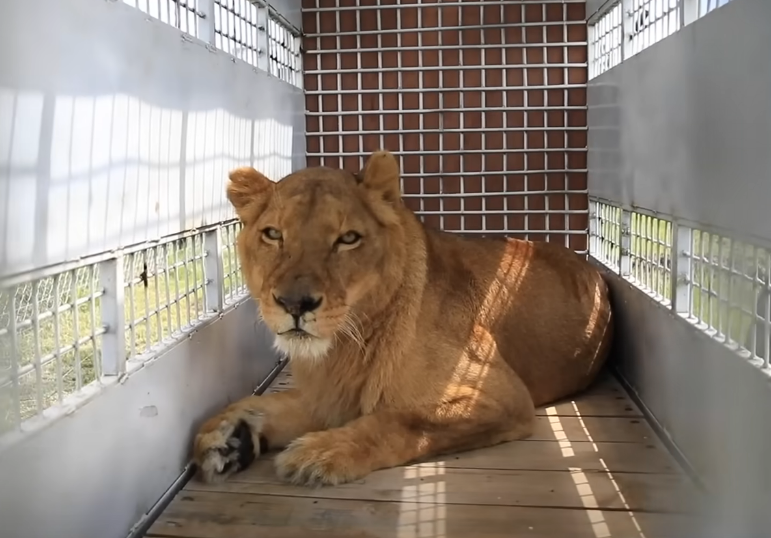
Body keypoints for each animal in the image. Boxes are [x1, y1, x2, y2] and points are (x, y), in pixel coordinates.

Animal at [192, 149, 614, 487]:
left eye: (348, 238)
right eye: (273, 234)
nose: (295, 304)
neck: (343, 348)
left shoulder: (501, 396)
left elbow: (399, 420)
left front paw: (320, 453)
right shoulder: (328, 397)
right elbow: (261, 404)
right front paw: (226, 434)